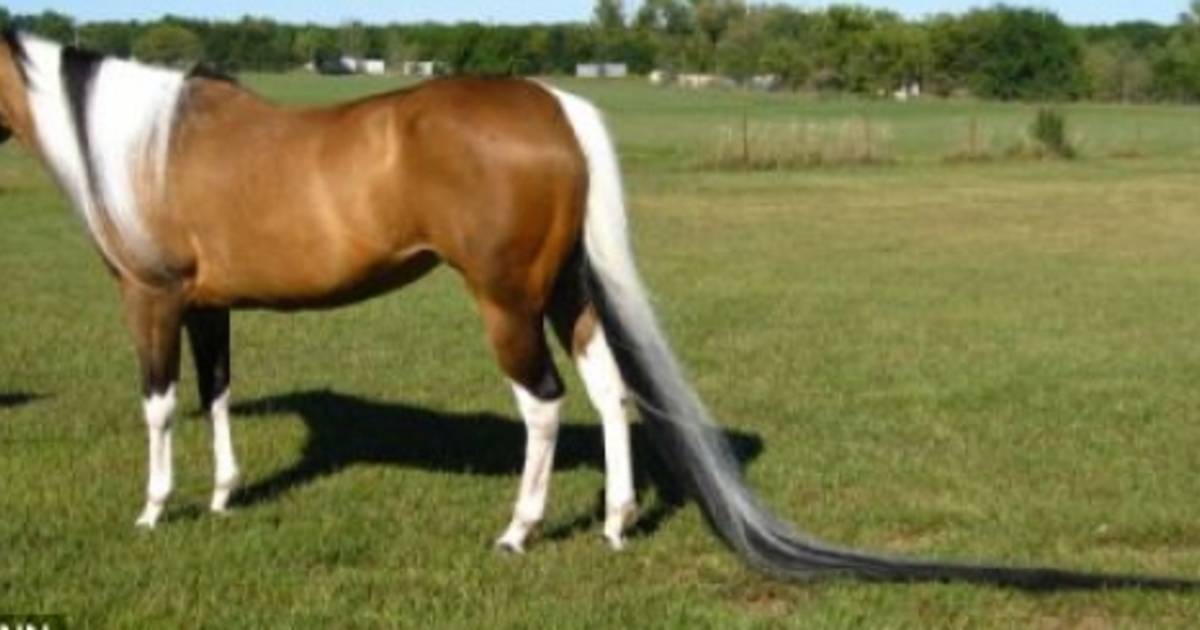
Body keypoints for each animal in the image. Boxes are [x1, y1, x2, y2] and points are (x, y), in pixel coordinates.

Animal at [0, 31, 1191, 590]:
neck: (144, 141)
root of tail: (551, 104)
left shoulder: (152, 300)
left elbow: (159, 405)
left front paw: (154, 509)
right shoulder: (209, 306)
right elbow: (215, 399)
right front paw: (221, 498)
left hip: (506, 304)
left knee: (541, 408)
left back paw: (521, 531)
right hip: (566, 294)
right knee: (613, 399)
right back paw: (614, 522)